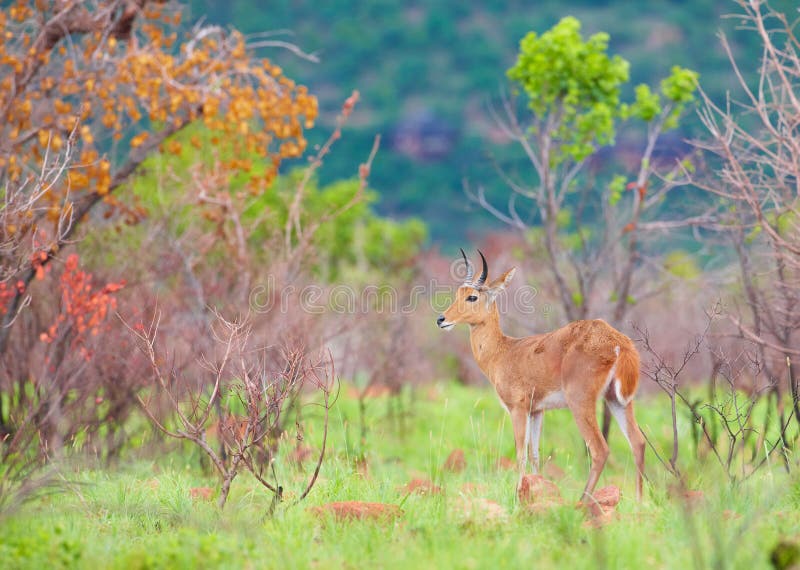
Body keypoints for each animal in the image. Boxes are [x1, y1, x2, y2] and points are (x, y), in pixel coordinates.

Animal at [436, 250, 646, 503]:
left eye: (472, 297)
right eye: (457, 293)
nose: (441, 319)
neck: (502, 352)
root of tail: (617, 341)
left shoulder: (518, 408)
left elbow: (521, 454)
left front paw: (519, 496)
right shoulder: (537, 411)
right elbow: (535, 453)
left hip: (581, 401)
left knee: (600, 449)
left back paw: (582, 502)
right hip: (618, 400)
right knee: (637, 442)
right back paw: (639, 503)